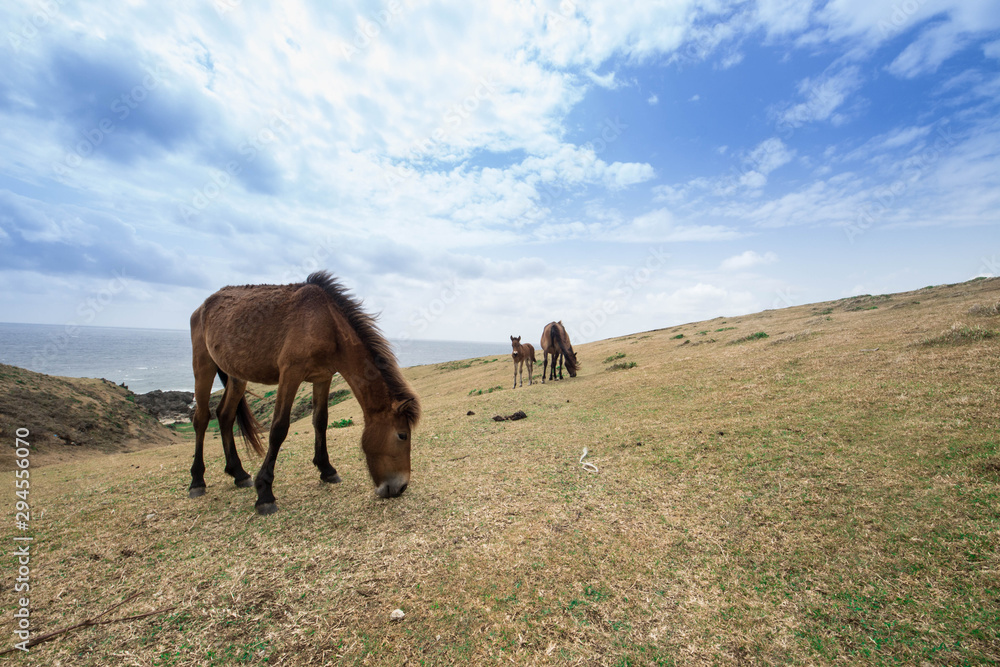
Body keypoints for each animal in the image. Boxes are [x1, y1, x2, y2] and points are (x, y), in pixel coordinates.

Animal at [188, 271, 420, 514]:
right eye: (402, 435)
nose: (401, 487)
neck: (326, 322)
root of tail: (202, 306)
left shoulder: (323, 377)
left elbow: (320, 421)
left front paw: (327, 470)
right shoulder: (290, 373)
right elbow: (278, 428)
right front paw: (265, 493)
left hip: (236, 376)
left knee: (225, 415)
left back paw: (239, 473)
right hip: (203, 366)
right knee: (201, 419)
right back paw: (197, 481)